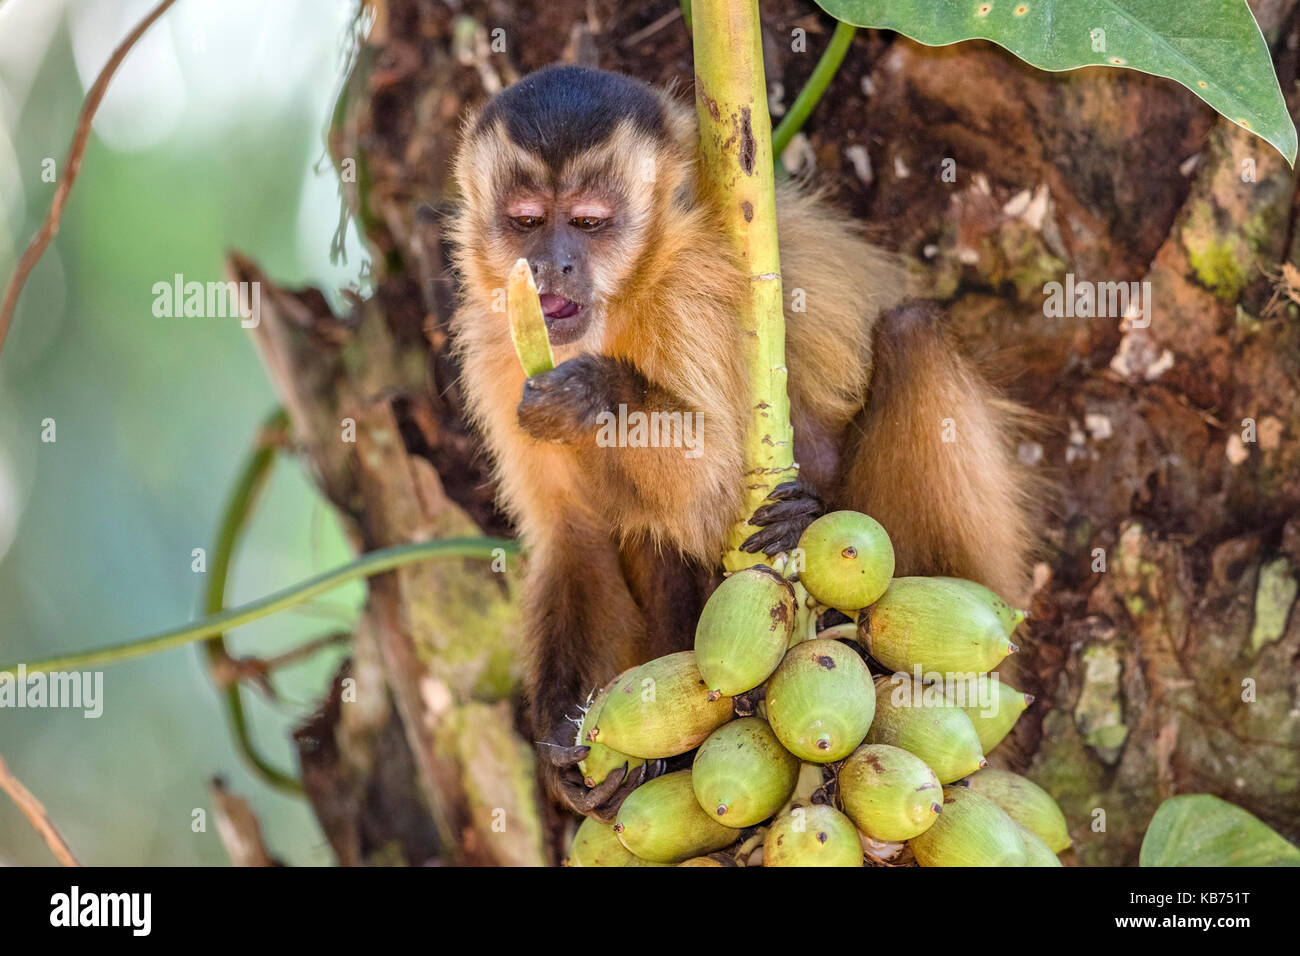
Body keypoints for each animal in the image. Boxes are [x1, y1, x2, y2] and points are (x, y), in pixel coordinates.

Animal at [447, 64, 1040, 819]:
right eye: (526, 221)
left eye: (587, 223)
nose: (552, 266)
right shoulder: (499, 349)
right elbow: (572, 536)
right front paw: (561, 744)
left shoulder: (693, 293)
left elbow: (715, 490)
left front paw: (594, 395)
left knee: (913, 335)